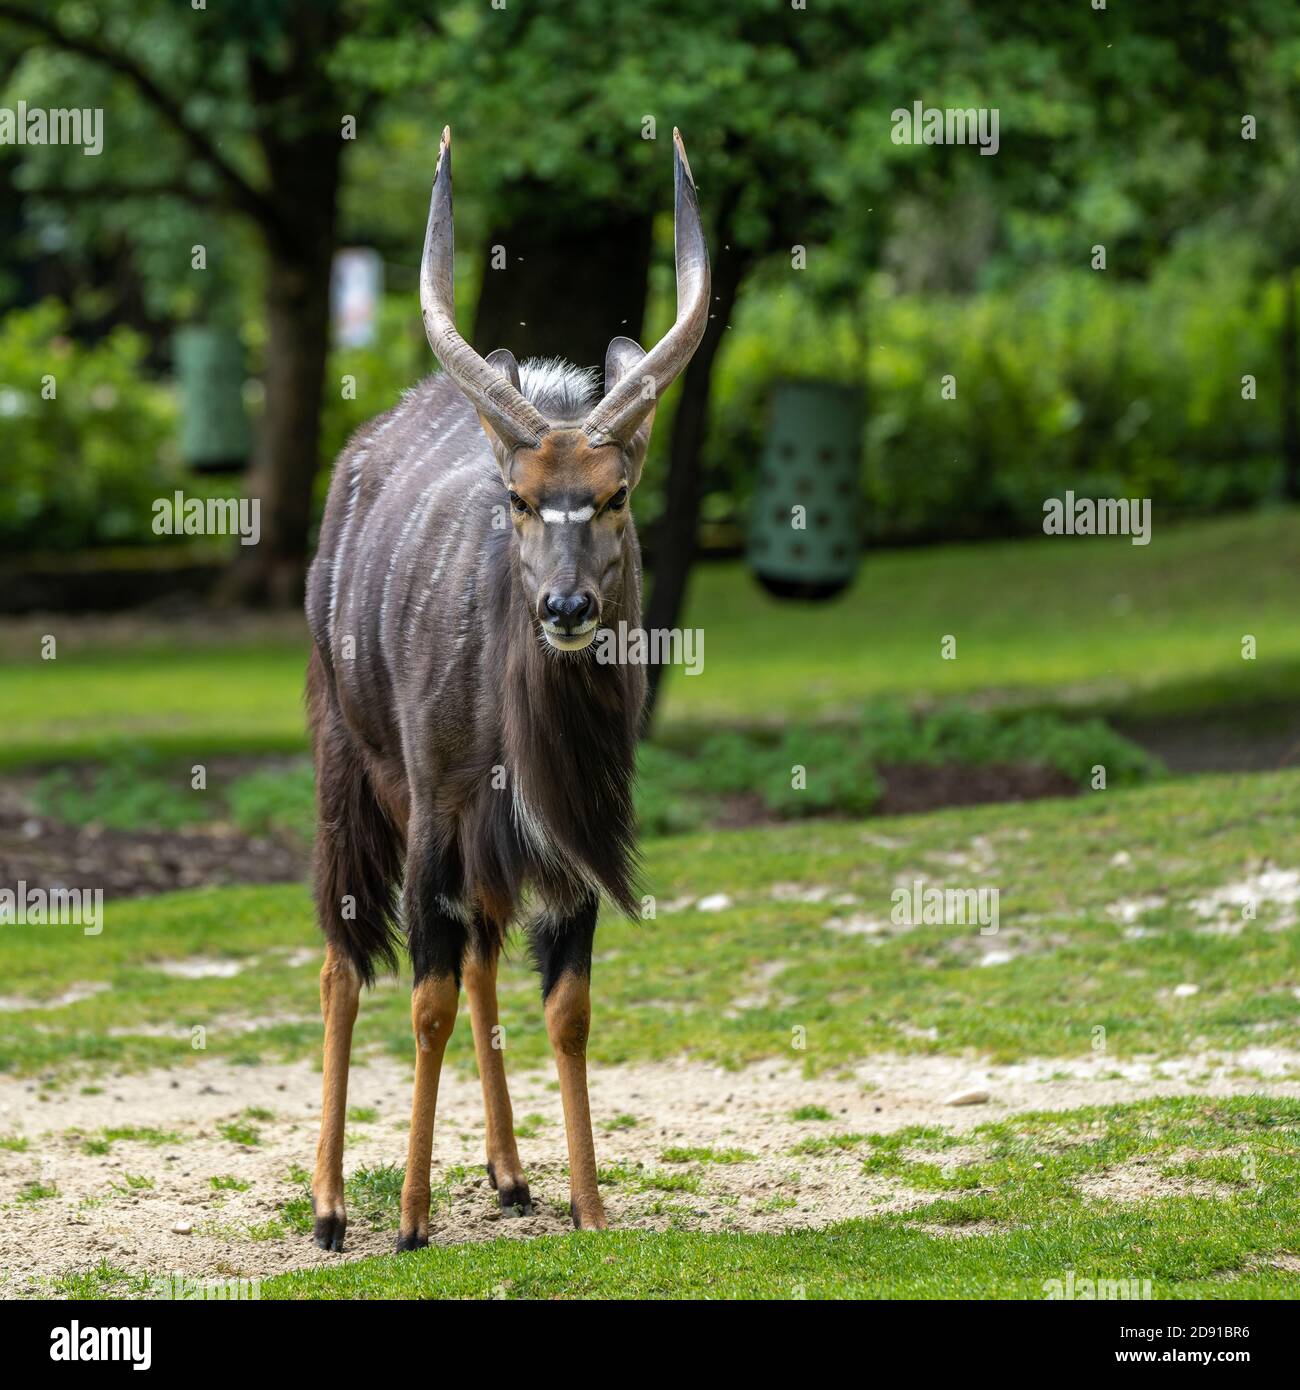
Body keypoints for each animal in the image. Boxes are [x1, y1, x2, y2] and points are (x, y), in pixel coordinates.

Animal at [303, 127, 709, 1249]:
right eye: (522, 500)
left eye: (615, 494)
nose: (567, 607)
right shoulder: (437, 819)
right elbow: (427, 999)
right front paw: (407, 1220)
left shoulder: (563, 841)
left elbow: (564, 1006)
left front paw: (588, 1203)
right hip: (346, 767)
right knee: (343, 961)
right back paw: (329, 1204)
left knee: (482, 955)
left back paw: (510, 1173)